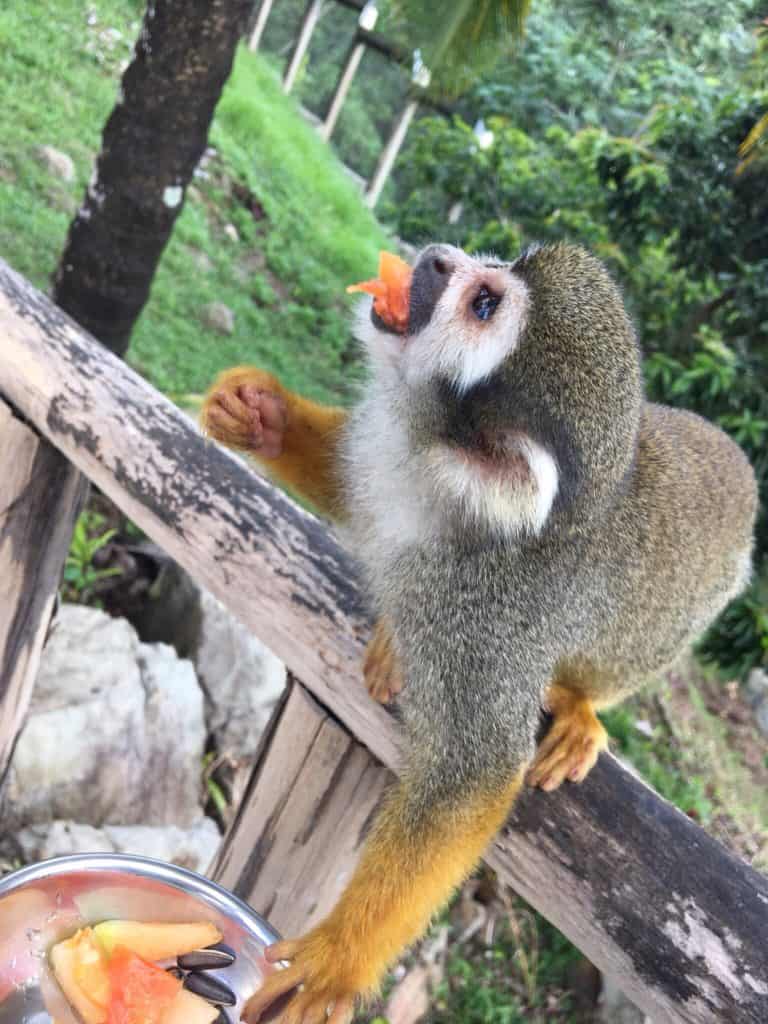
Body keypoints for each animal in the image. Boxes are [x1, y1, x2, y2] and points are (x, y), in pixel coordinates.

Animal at [200, 242, 758, 1024]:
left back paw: (580, 701)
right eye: (502, 262)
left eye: (483, 303)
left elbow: (475, 774)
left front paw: (338, 959)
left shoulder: (492, 614)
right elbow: (349, 482)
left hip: (709, 593)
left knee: (637, 643)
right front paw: (262, 416)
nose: (437, 258)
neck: (444, 473)